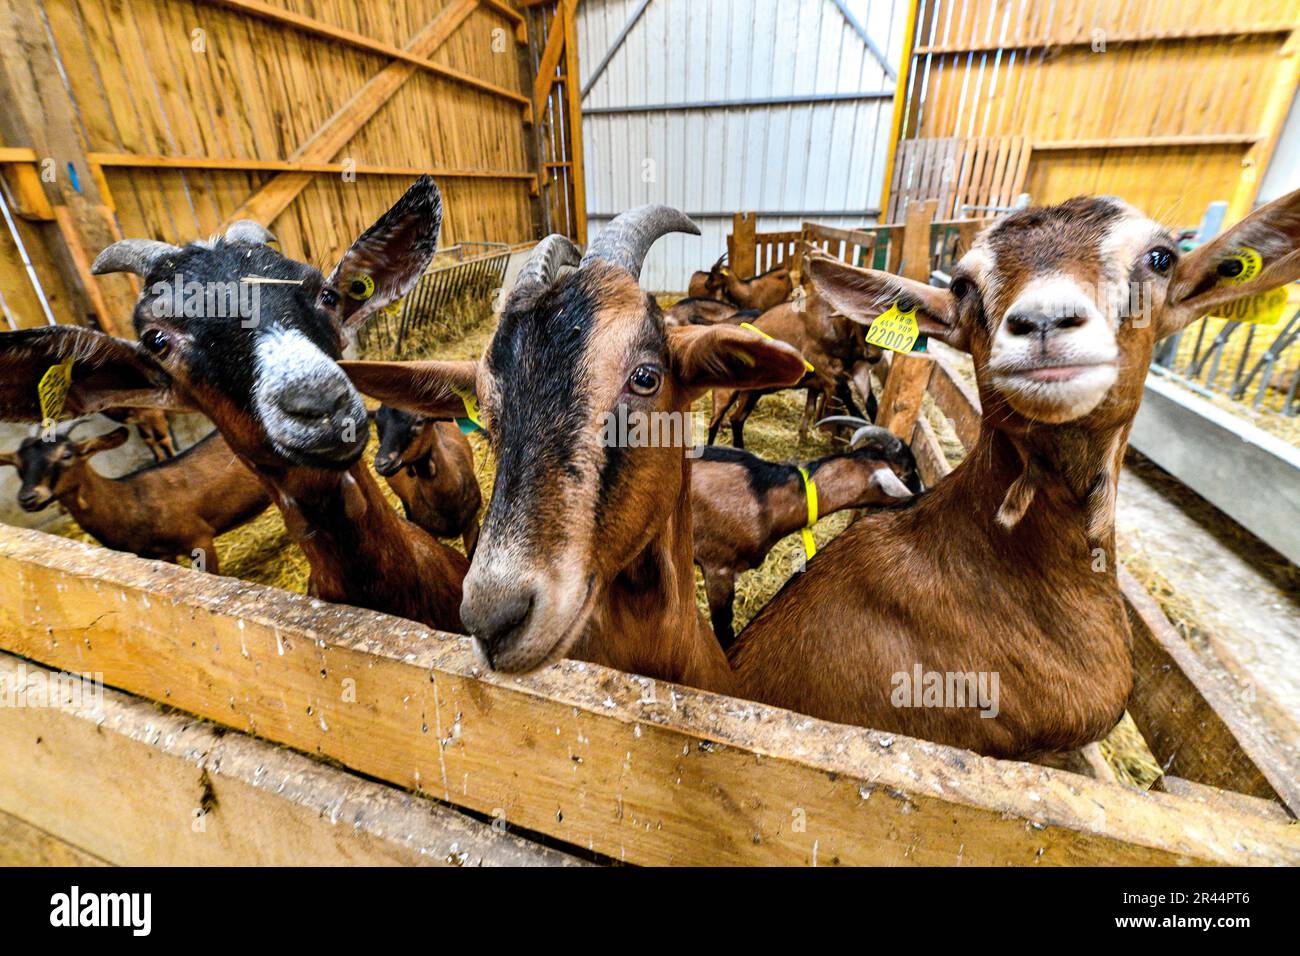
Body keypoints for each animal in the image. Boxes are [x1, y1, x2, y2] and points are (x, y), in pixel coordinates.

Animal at [0, 421, 269, 574]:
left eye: (66, 455)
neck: (131, 500)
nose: (28, 498)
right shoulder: (159, 555)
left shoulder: (198, 538)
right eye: (17, 463)